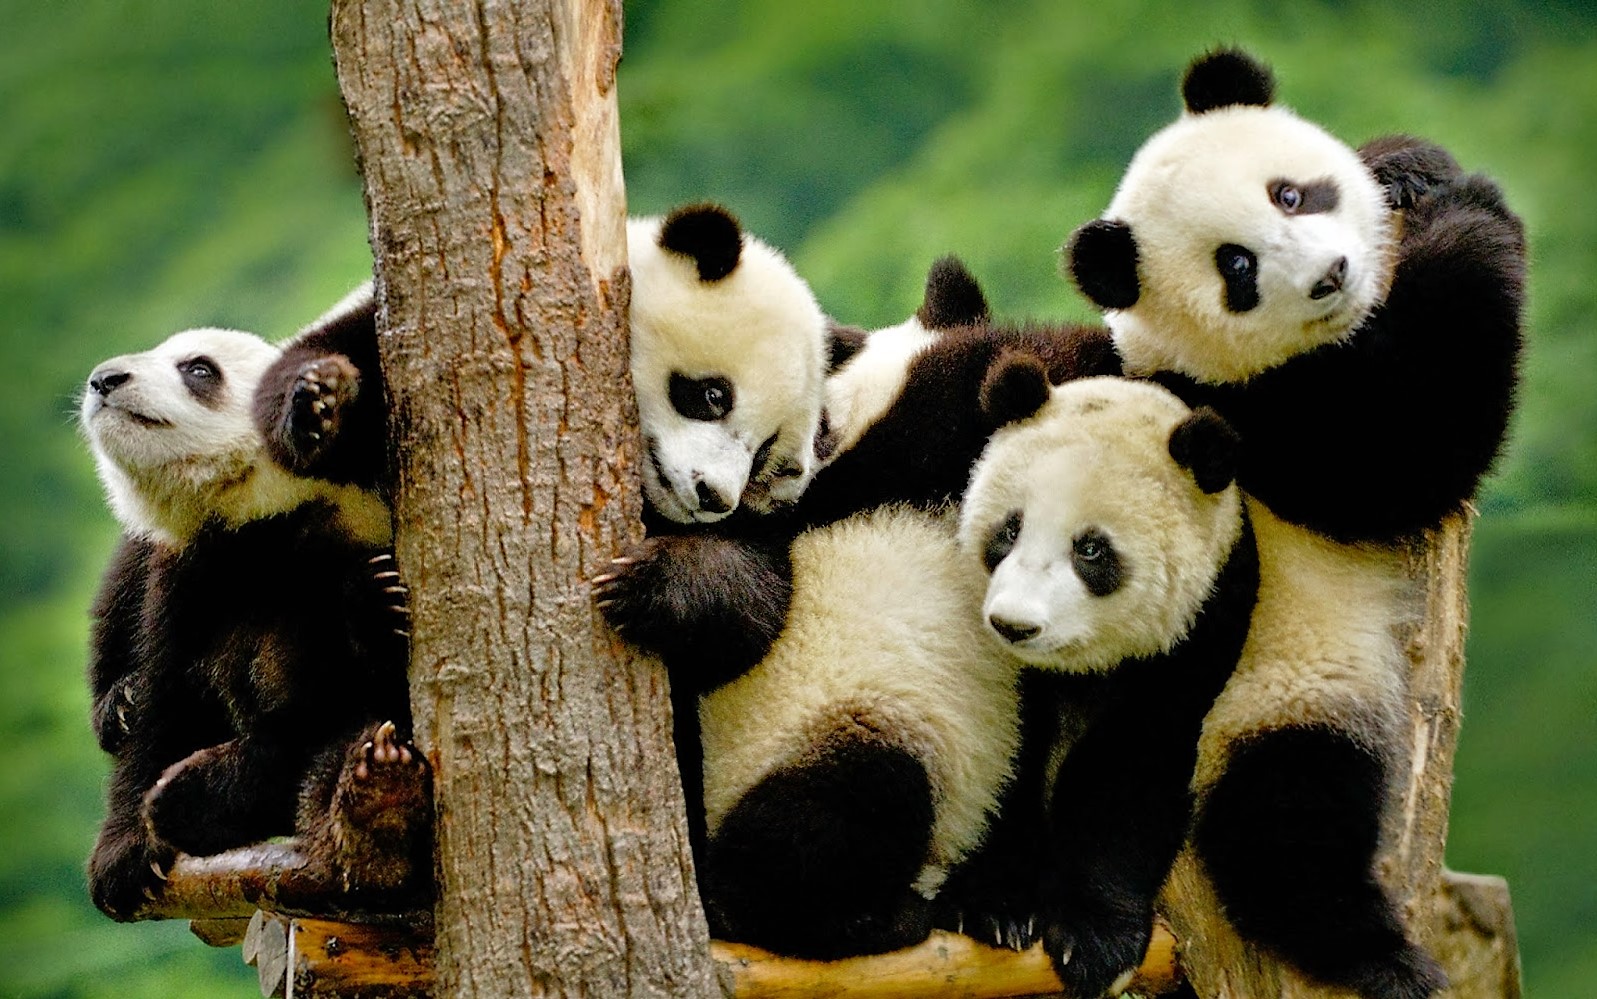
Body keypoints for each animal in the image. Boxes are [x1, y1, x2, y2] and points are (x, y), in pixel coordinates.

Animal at [80, 315, 427, 919]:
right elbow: (166, 701)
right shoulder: (194, 574)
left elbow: (330, 703)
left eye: (199, 369)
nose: (105, 379)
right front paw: (123, 855)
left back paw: (375, 811)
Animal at [933, 369, 1257, 998]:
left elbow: (1131, 772)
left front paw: (1093, 941)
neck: (1077, 667)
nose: (1014, 624)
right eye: (1008, 530)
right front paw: (993, 904)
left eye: (1091, 549)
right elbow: (1006, 750)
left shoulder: (1199, 631)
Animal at [1064, 49, 1525, 998]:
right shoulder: (1248, 416)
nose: (1329, 275)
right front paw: (1472, 211)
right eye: (1235, 267)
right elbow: (1406, 449)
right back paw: (1376, 952)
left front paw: (1409, 166)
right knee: (1284, 823)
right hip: (1266, 689)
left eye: (1288, 194)